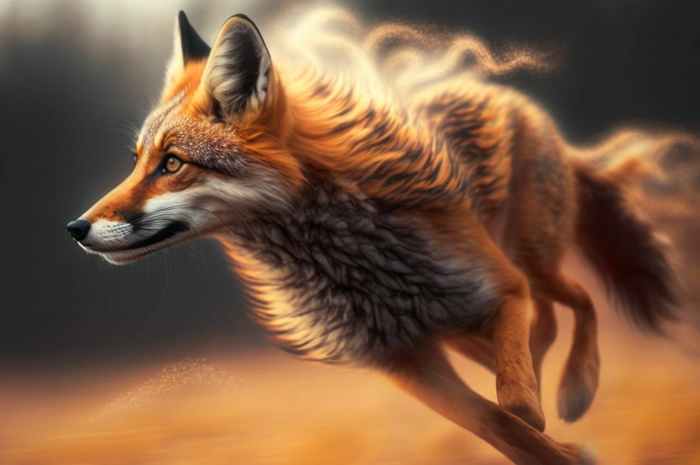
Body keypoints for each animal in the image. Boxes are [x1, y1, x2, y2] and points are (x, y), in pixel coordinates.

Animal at [67, 10, 682, 465]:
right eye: (137, 161)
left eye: (172, 163)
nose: (76, 229)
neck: (354, 264)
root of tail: (517, 102)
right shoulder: (404, 360)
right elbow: (498, 425)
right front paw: (554, 447)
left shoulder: (499, 287)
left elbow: (512, 403)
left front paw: (545, 417)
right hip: (470, 318)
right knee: (546, 323)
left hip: (531, 262)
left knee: (575, 302)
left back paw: (577, 388)